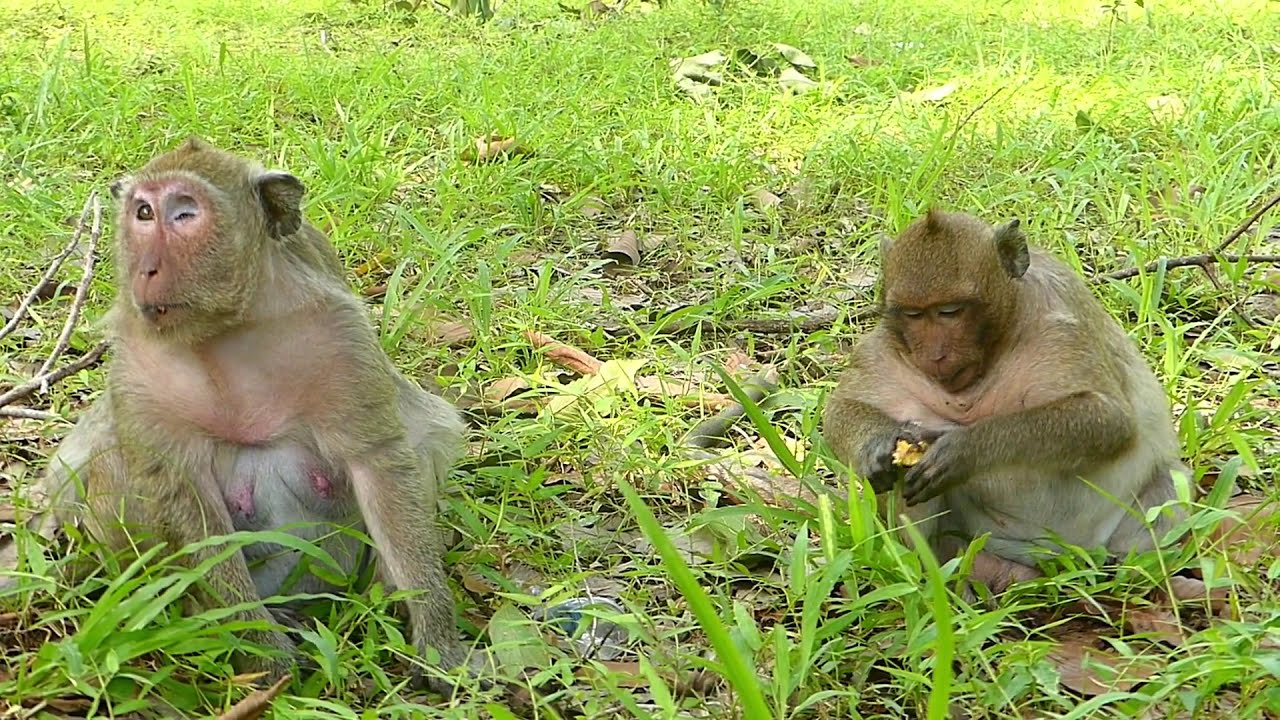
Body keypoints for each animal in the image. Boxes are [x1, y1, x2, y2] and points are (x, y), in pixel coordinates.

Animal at [13, 137, 467, 684]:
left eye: (184, 214)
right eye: (143, 213)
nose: (146, 269)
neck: (224, 330)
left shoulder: (338, 333)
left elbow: (379, 460)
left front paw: (437, 642)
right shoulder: (140, 368)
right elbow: (185, 500)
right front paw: (269, 662)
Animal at [822, 209, 1187, 594]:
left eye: (950, 311)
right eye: (913, 314)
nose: (935, 355)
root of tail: (1065, 555)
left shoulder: (1061, 324)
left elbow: (1109, 419)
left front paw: (966, 449)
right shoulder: (886, 347)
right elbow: (840, 409)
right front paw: (876, 447)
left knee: (1167, 485)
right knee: (904, 481)